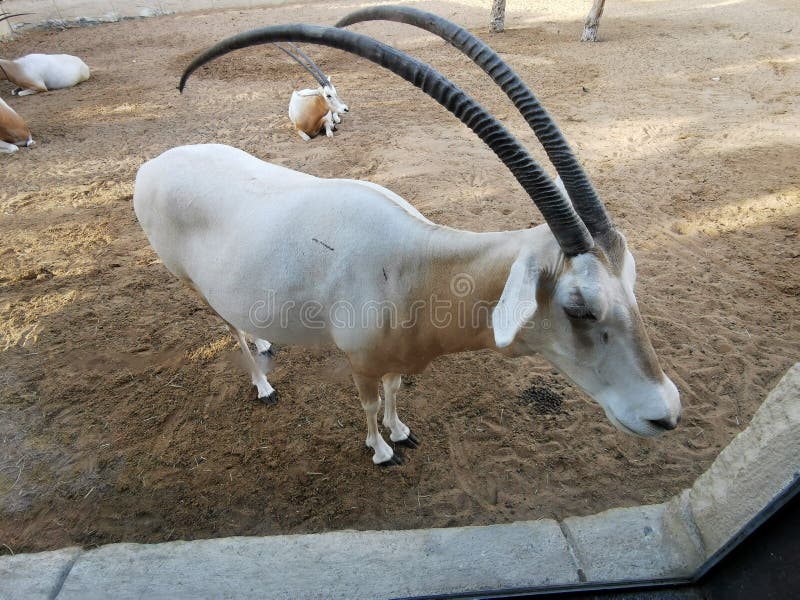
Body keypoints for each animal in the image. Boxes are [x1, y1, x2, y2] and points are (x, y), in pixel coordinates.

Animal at [135, 10, 681, 467]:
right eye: (579, 307)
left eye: (631, 284)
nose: (666, 414)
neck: (417, 267)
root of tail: (151, 167)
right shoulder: (359, 361)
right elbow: (369, 402)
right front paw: (380, 449)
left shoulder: (396, 357)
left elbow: (396, 390)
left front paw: (400, 430)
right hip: (192, 282)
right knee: (227, 323)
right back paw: (262, 383)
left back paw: (266, 339)